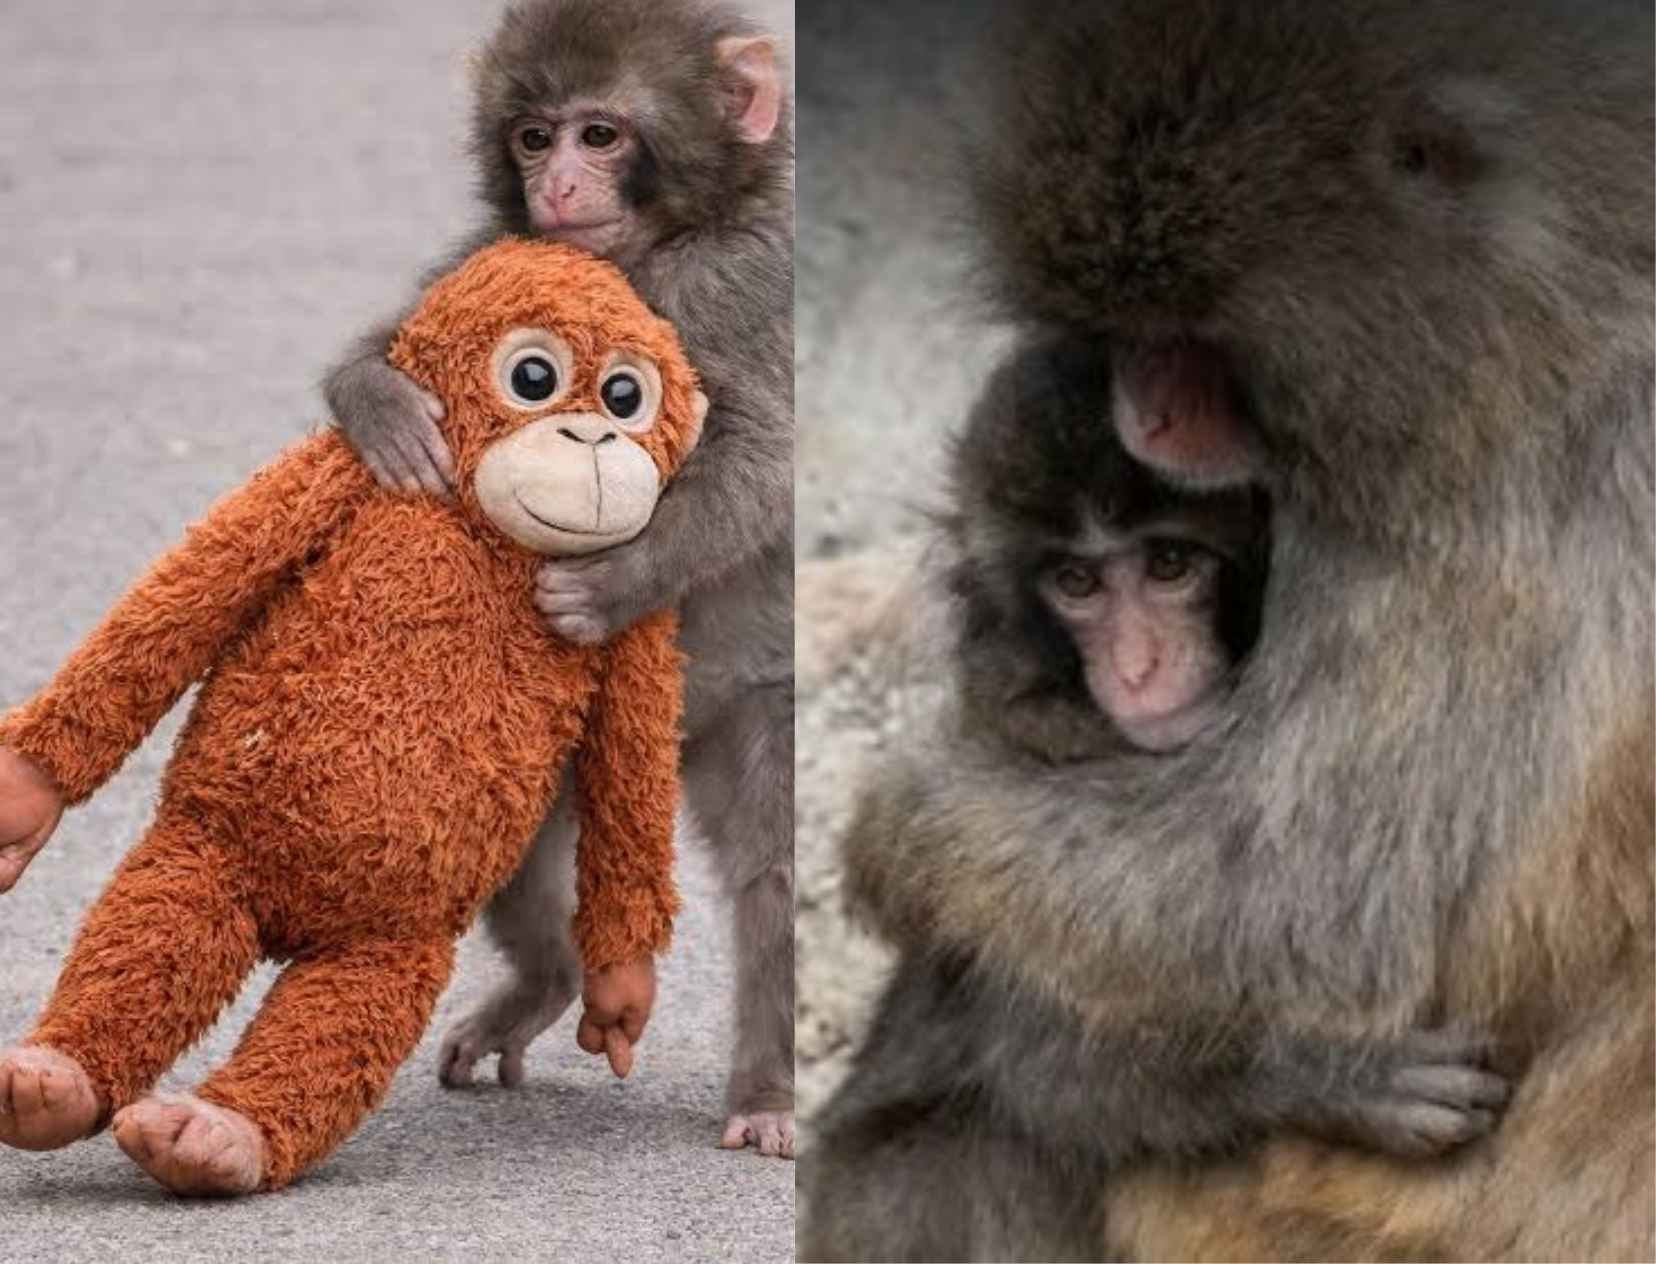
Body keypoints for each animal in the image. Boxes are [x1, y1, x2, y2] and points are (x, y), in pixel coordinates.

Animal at [319, 0, 796, 1158]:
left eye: (603, 135)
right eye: (534, 137)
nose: (559, 187)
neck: (652, 247)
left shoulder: (743, 281)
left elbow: (765, 457)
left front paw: (610, 586)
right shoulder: (505, 255)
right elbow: (398, 340)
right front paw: (383, 406)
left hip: (756, 706)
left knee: (776, 871)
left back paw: (766, 1090)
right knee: (505, 841)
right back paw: (552, 979)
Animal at [802, 0, 1654, 1259]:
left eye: (1188, 339)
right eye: (1118, 325)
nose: (1141, 411)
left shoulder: (1508, 495)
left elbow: (1304, 904)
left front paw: (897, 820)